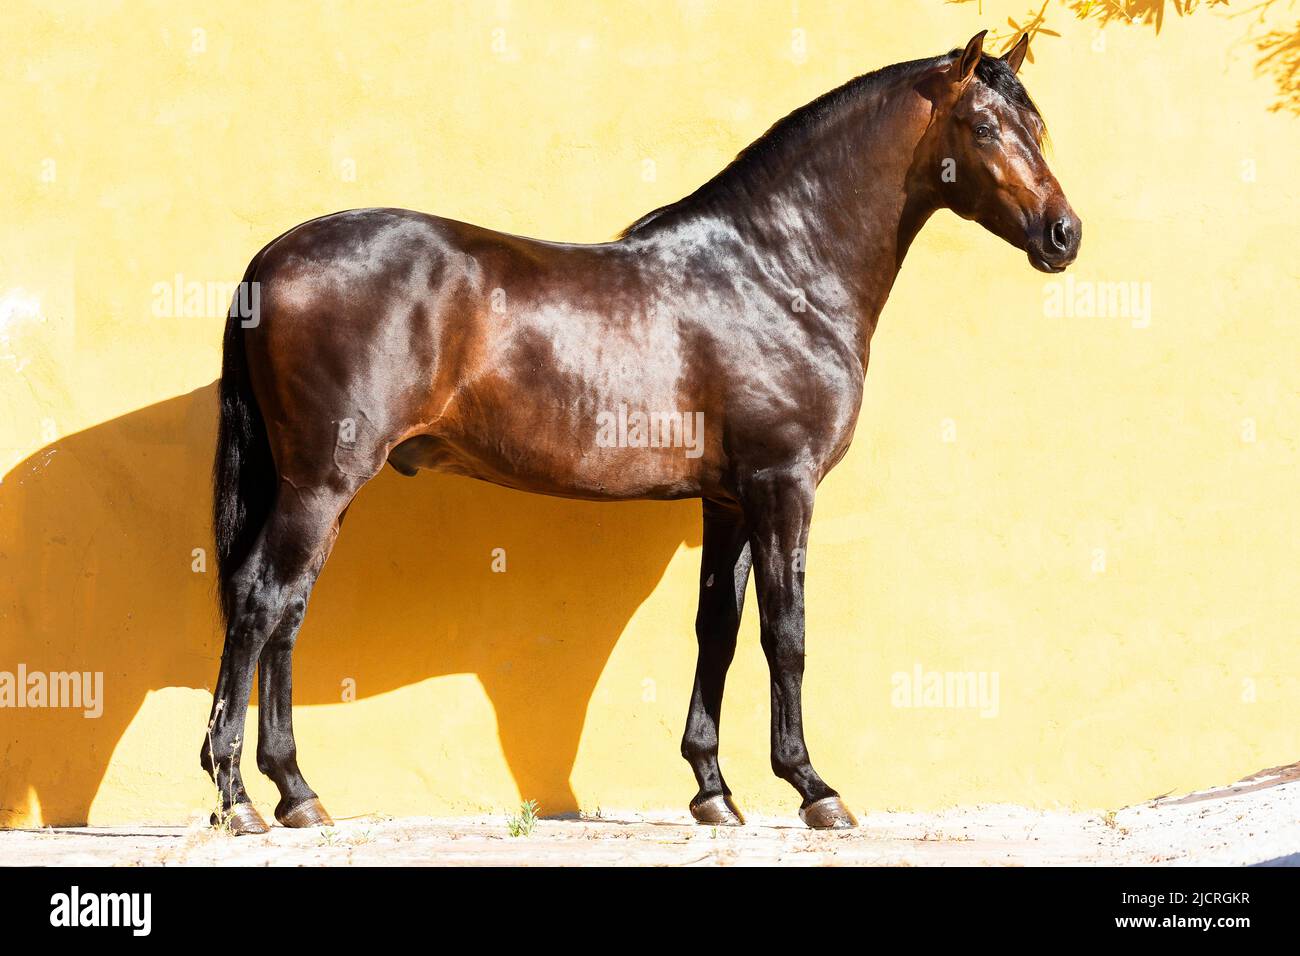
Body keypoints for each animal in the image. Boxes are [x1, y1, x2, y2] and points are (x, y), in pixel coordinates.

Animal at [202, 30, 1080, 834]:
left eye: (1036, 126)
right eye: (985, 126)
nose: (1064, 234)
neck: (776, 272)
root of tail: (272, 257)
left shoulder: (730, 501)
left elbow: (718, 632)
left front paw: (713, 792)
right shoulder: (782, 485)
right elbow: (785, 632)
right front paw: (813, 789)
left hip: (324, 487)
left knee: (284, 612)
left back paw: (296, 793)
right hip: (321, 482)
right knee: (262, 603)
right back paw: (240, 799)